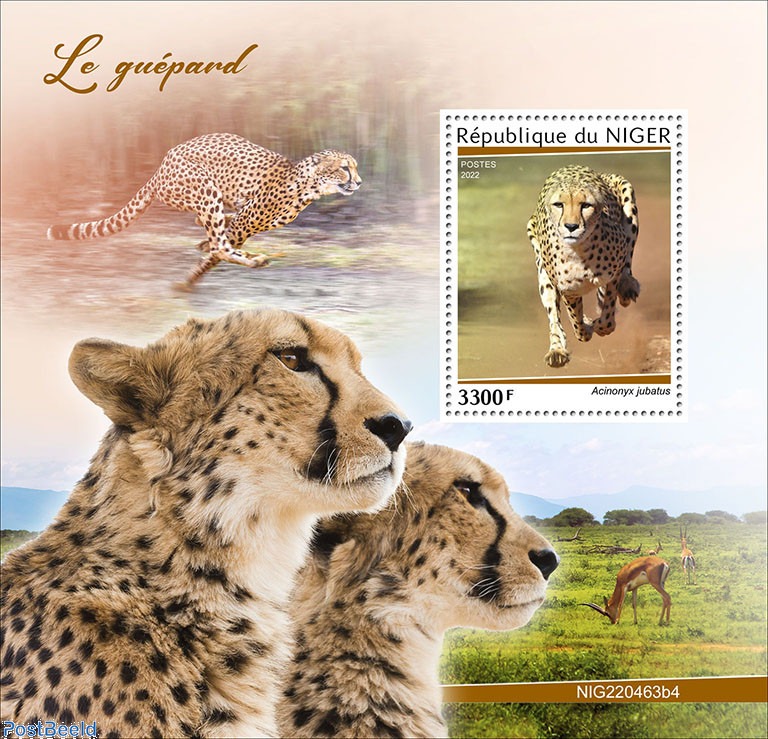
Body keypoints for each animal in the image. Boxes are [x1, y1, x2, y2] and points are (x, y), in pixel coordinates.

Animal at [46, 133, 362, 288]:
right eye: (345, 168)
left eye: (355, 167)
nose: (359, 182)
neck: (309, 185)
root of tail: (162, 165)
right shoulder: (244, 220)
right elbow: (217, 251)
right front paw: (191, 277)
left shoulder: (243, 220)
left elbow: (219, 239)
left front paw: (200, 254)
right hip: (205, 188)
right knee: (220, 242)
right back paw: (252, 259)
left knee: (212, 227)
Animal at [527, 164, 641, 368]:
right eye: (559, 204)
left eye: (586, 205)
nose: (571, 226)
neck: (579, 251)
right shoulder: (568, 290)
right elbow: (576, 322)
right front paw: (586, 328)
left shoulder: (613, 273)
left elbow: (607, 317)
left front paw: (599, 325)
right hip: (543, 273)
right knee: (554, 318)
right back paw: (557, 350)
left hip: (627, 198)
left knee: (628, 256)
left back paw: (627, 287)